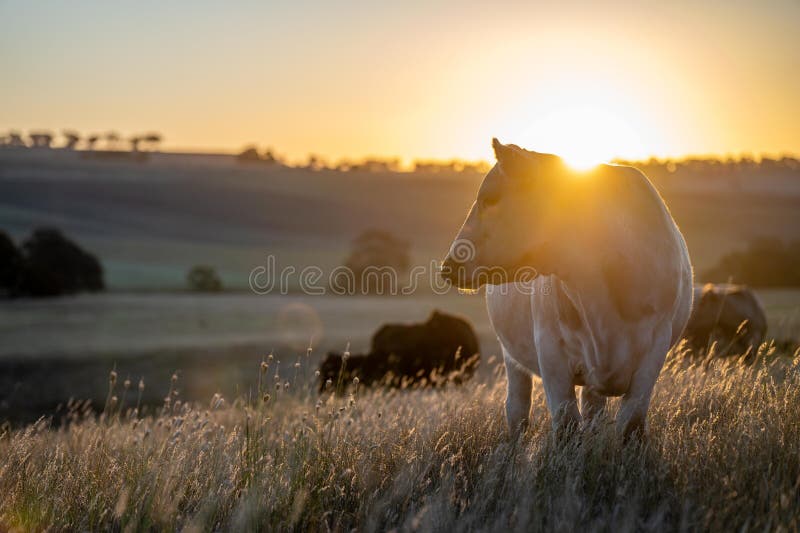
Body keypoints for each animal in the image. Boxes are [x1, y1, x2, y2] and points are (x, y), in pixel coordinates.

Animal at [440, 139, 693, 438]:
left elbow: (630, 425)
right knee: (517, 409)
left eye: (490, 199)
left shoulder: (655, 350)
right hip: (512, 356)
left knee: (593, 409)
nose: (448, 265)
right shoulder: (551, 353)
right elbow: (566, 425)